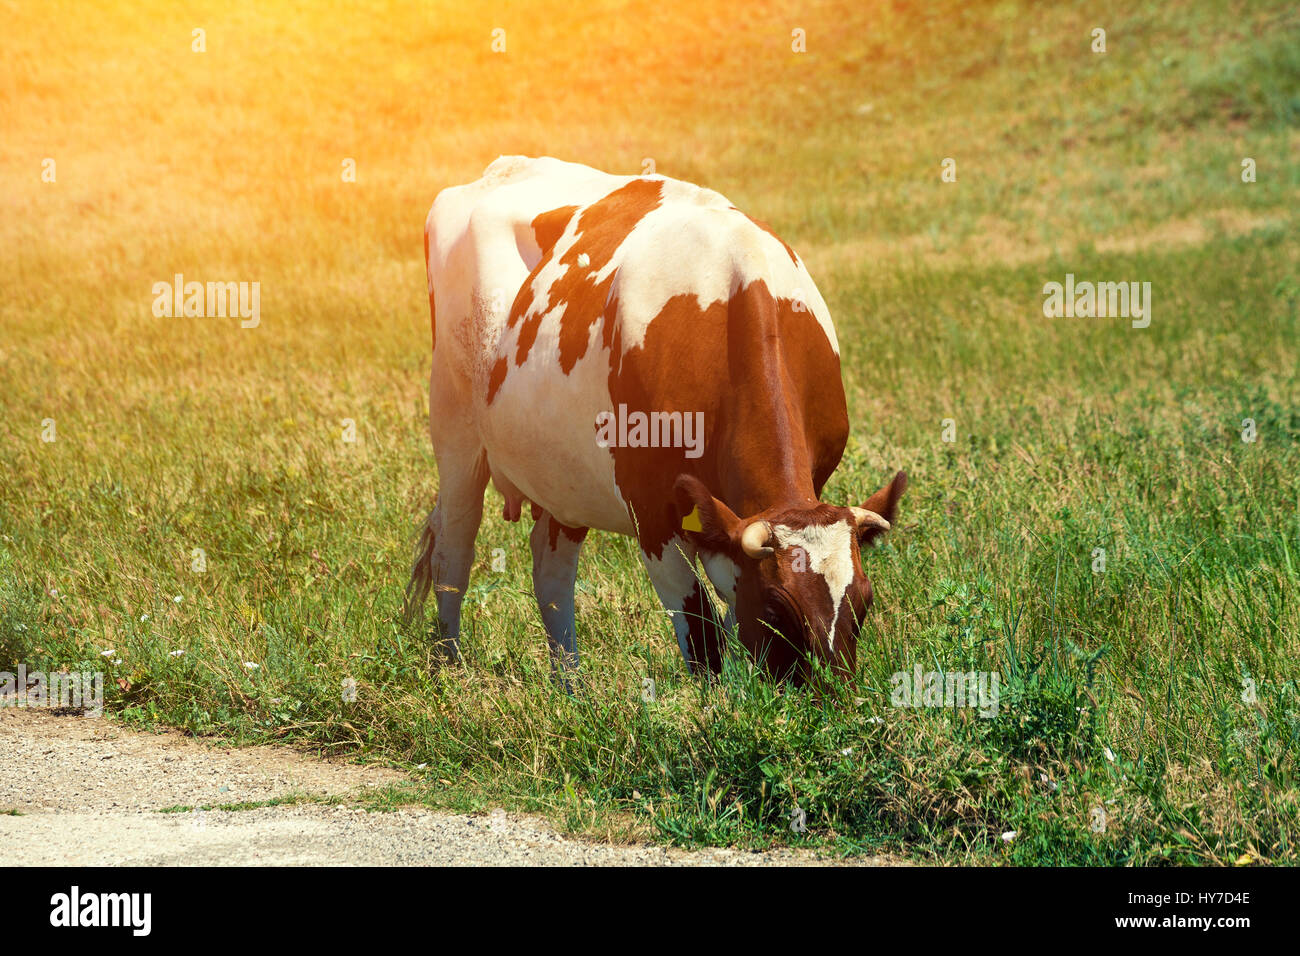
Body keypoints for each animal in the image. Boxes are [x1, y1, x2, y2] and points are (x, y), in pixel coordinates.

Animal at [406, 156, 905, 687]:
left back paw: (571, 688)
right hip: (454, 429)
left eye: (865, 602)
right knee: (454, 552)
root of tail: (502, 168)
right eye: (776, 606)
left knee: (551, 567)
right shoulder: (649, 505)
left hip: (561, 470)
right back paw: (449, 669)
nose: (833, 696)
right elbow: (700, 625)